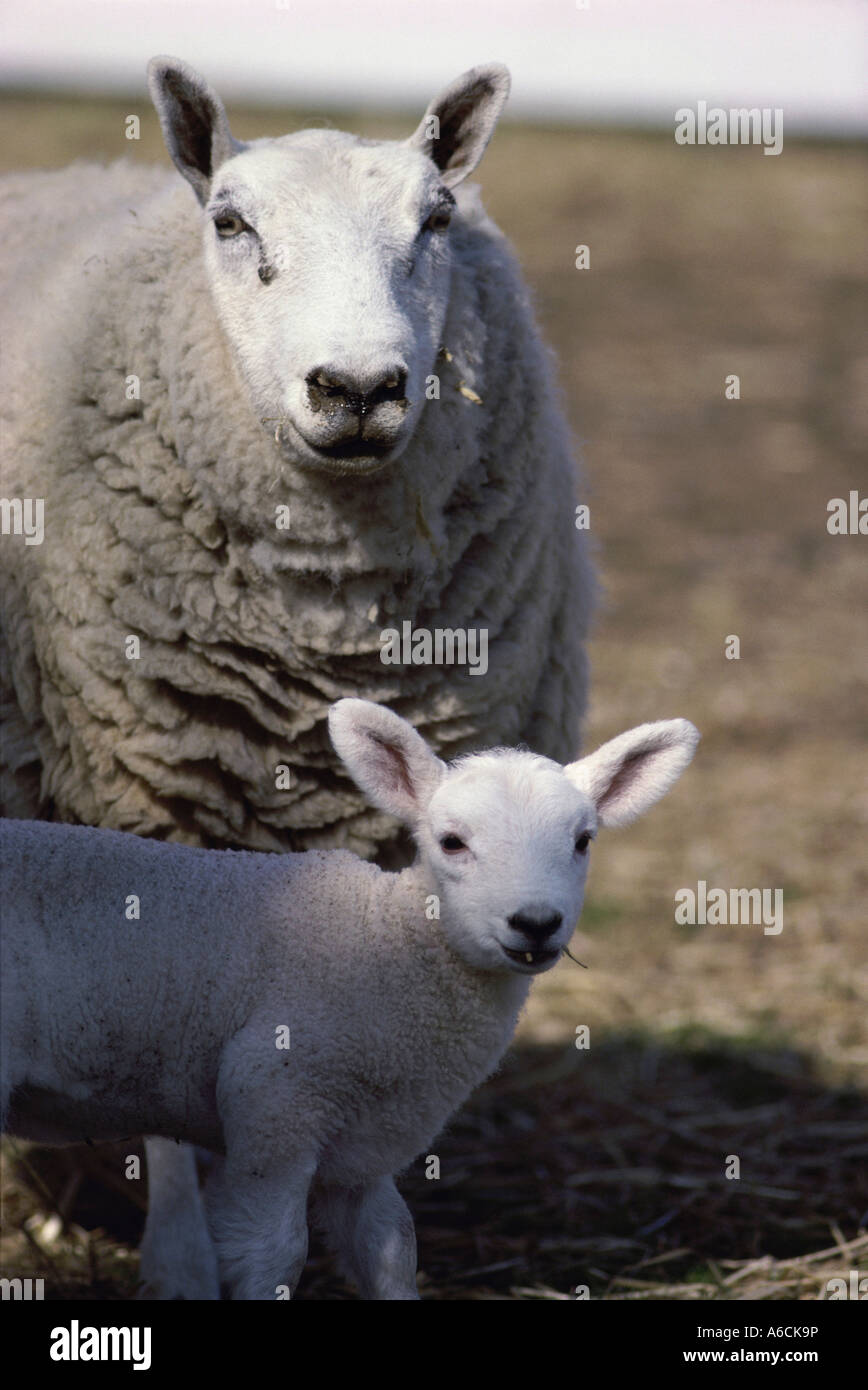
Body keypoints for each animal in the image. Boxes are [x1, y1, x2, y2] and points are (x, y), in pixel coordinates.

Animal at [0, 699, 699, 1300]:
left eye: (583, 841)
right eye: (451, 841)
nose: (535, 923)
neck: (391, 944)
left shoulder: (364, 1149)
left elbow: (393, 1250)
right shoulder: (274, 1107)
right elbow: (274, 1256)